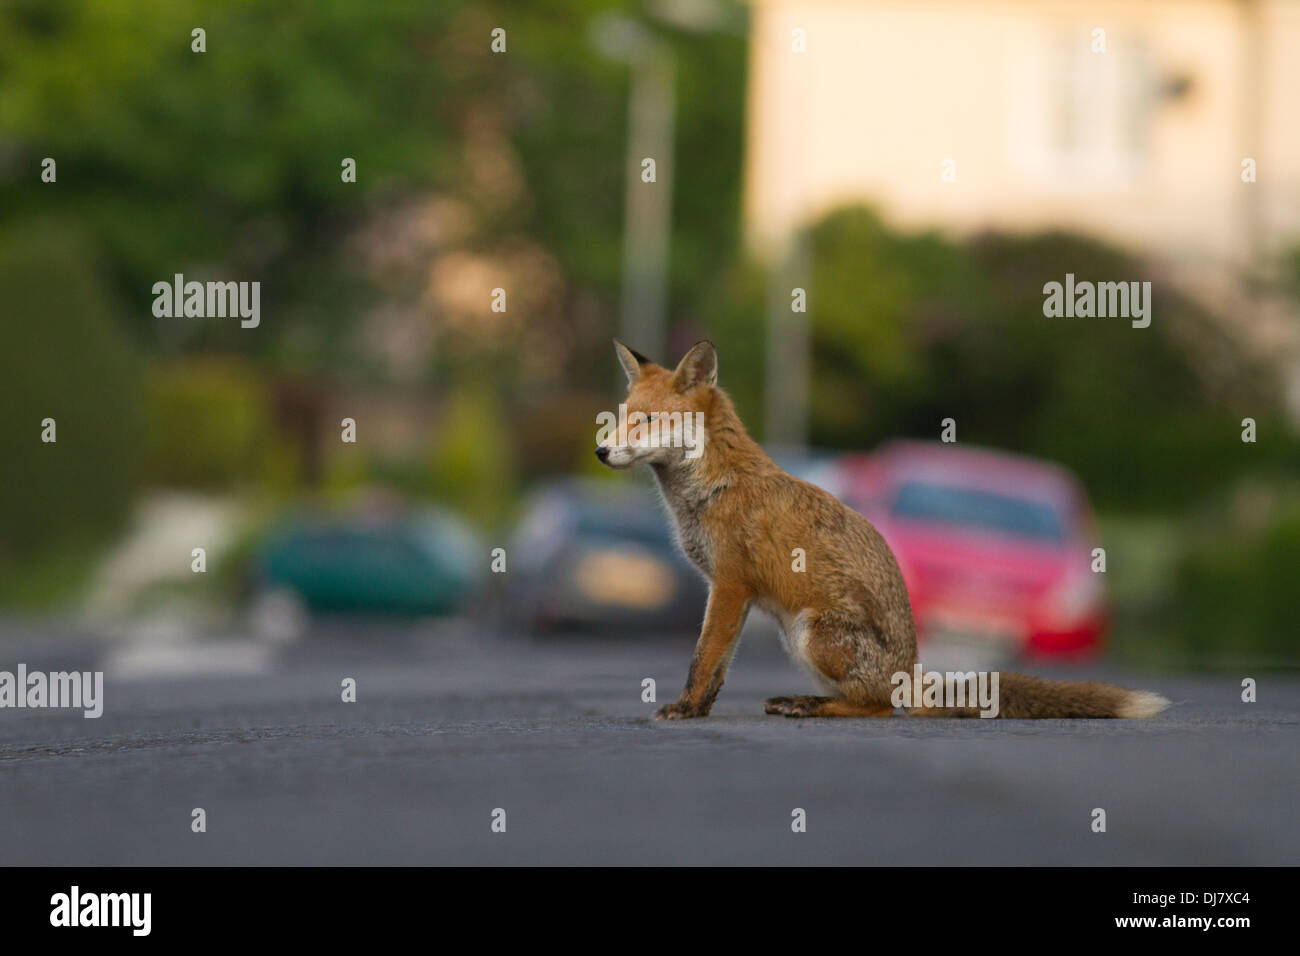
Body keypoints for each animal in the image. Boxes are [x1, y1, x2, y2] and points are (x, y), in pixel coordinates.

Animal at [596, 338, 1170, 721]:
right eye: (622, 416)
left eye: (648, 421)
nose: (600, 452)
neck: (711, 487)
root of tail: (910, 671)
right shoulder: (735, 593)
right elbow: (719, 666)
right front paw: (700, 709)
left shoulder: (732, 584)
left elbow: (703, 658)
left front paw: (683, 708)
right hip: (795, 633)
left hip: (810, 631)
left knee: (877, 707)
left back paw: (813, 706)